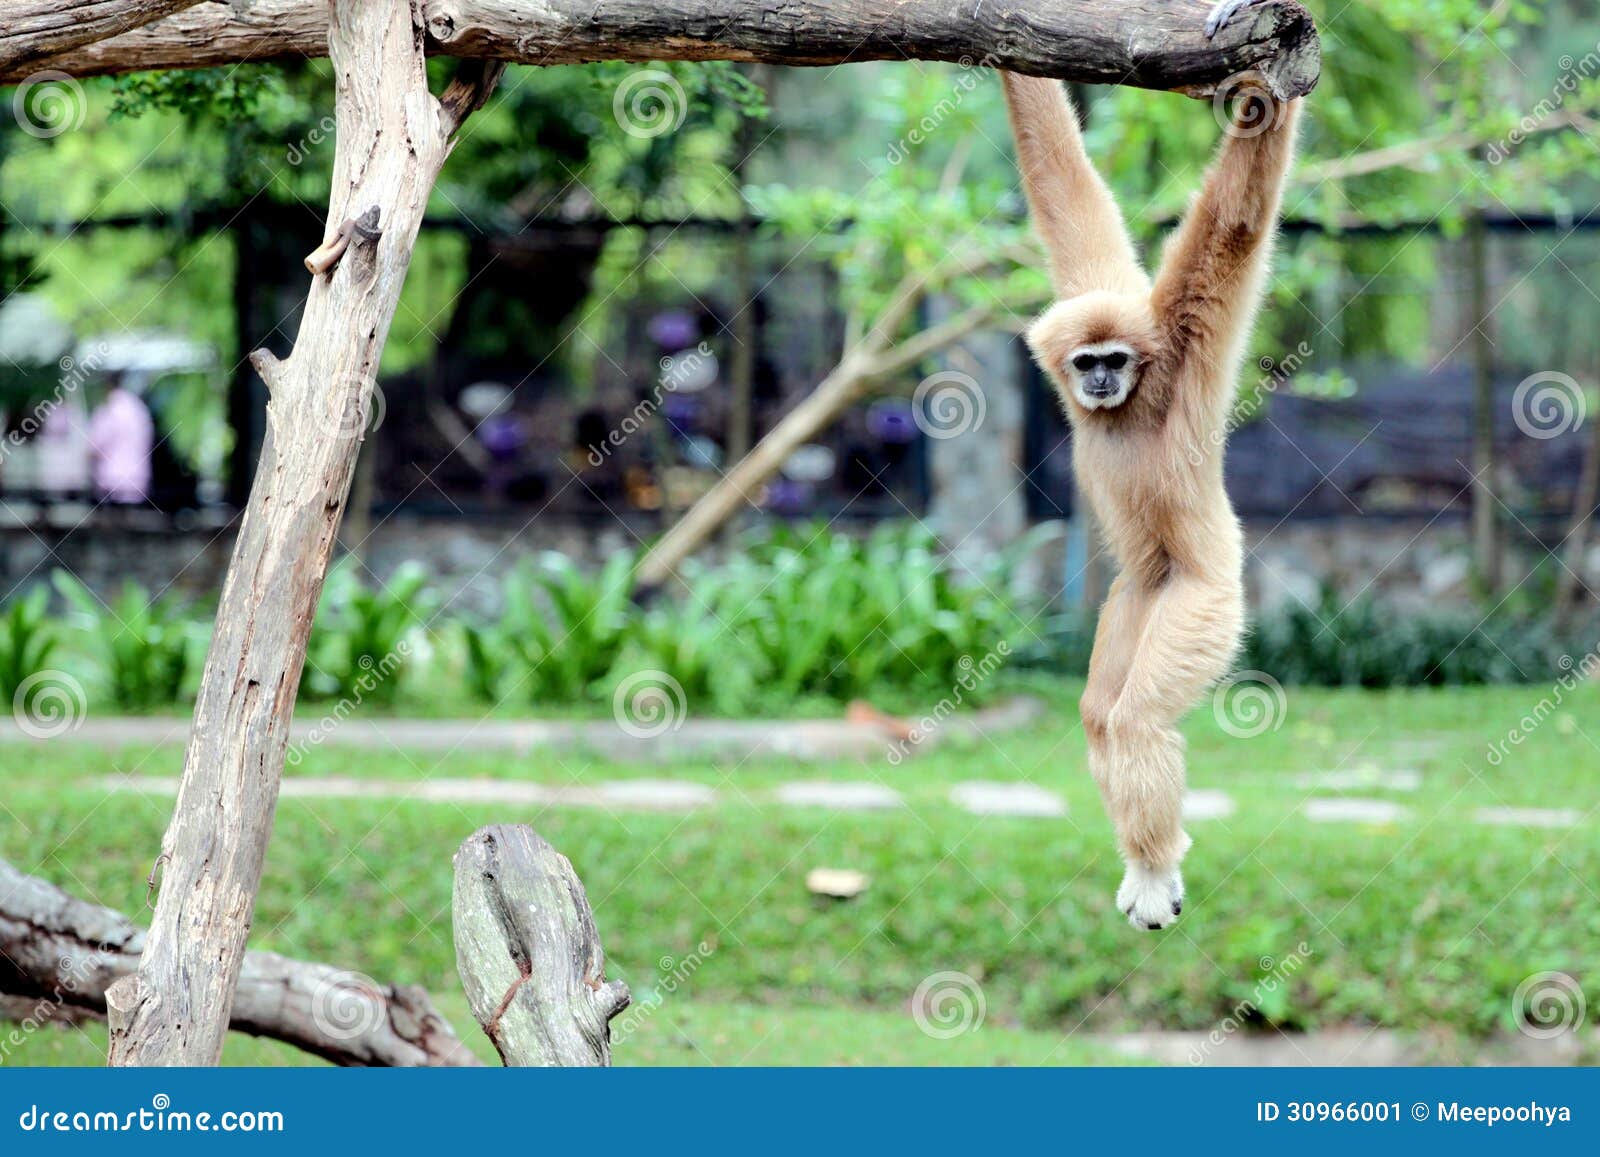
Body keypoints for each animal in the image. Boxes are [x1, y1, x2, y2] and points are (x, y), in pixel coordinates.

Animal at [1000, 31, 1301, 929]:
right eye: (1085, 361)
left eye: (1116, 360)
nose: (1100, 380)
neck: (1130, 400)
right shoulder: (1100, 284)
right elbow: (1063, 187)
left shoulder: (1178, 336)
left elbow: (1233, 227)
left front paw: (1263, 91)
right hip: (1135, 596)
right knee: (1101, 714)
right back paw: (1148, 859)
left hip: (1204, 601)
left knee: (1132, 719)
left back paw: (1156, 870)